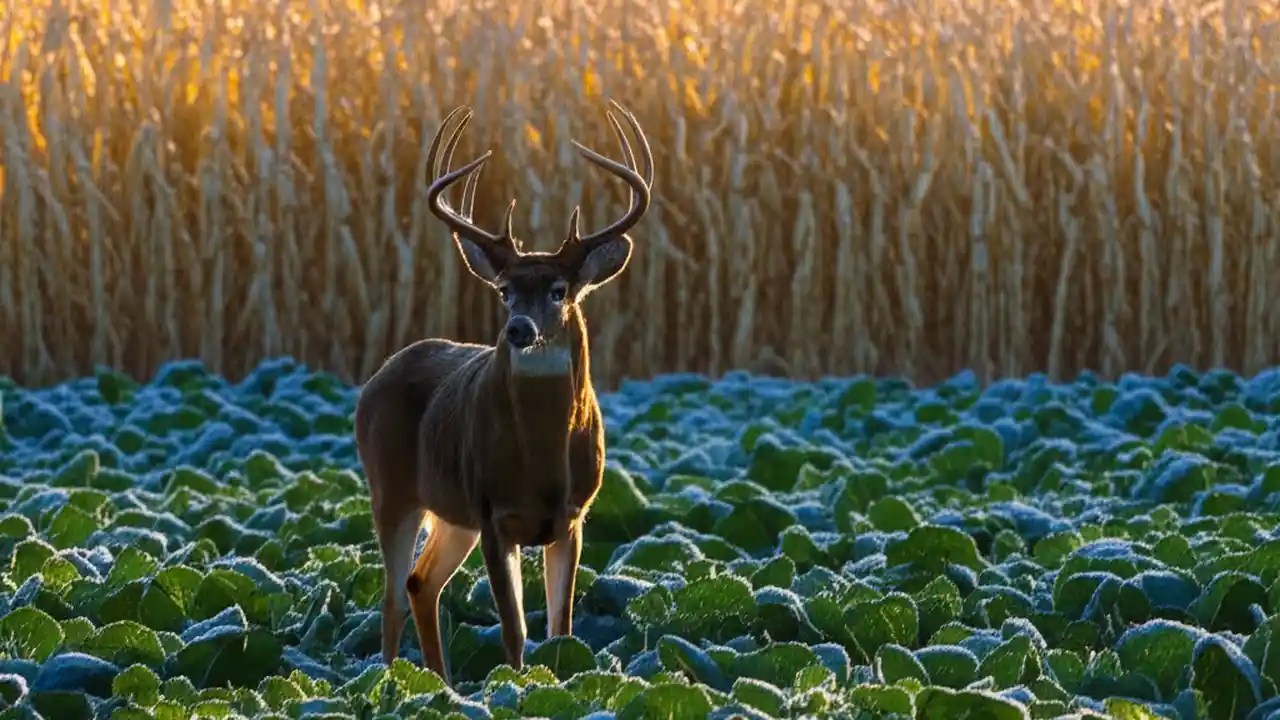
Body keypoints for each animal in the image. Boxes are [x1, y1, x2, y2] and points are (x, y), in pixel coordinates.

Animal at [353, 101, 654, 685]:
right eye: (504, 290)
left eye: (559, 290)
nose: (518, 329)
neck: (542, 465)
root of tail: (379, 375)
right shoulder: (493, 512)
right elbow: (514, 630)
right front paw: (514, 687)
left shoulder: (573, 517)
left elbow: (561, 627)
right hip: (392, 489)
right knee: (391, 596)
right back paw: (395, 685)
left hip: (451, 514)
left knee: (420, 583)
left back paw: (443, 688)